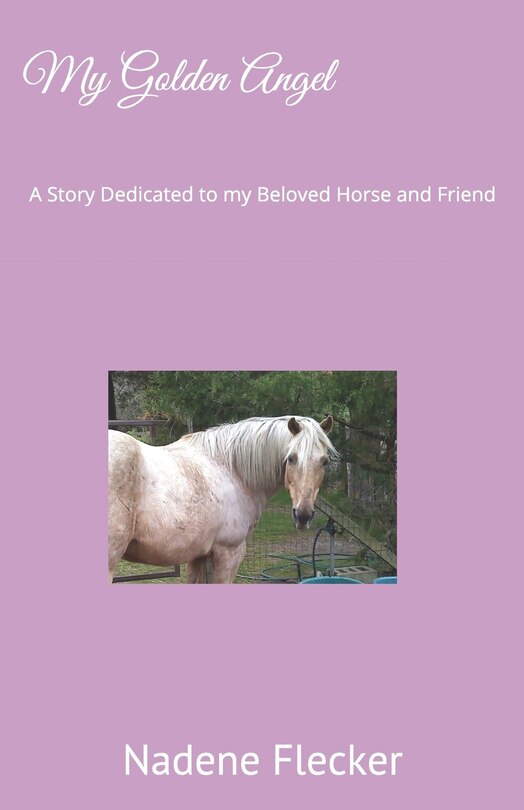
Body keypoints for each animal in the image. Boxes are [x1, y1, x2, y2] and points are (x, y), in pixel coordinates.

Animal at [108, 415, 338, 583]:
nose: (303, 515)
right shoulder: (228, 554)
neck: (231, 470)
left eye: (324, 461)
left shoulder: (198, 557)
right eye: (291, 458)